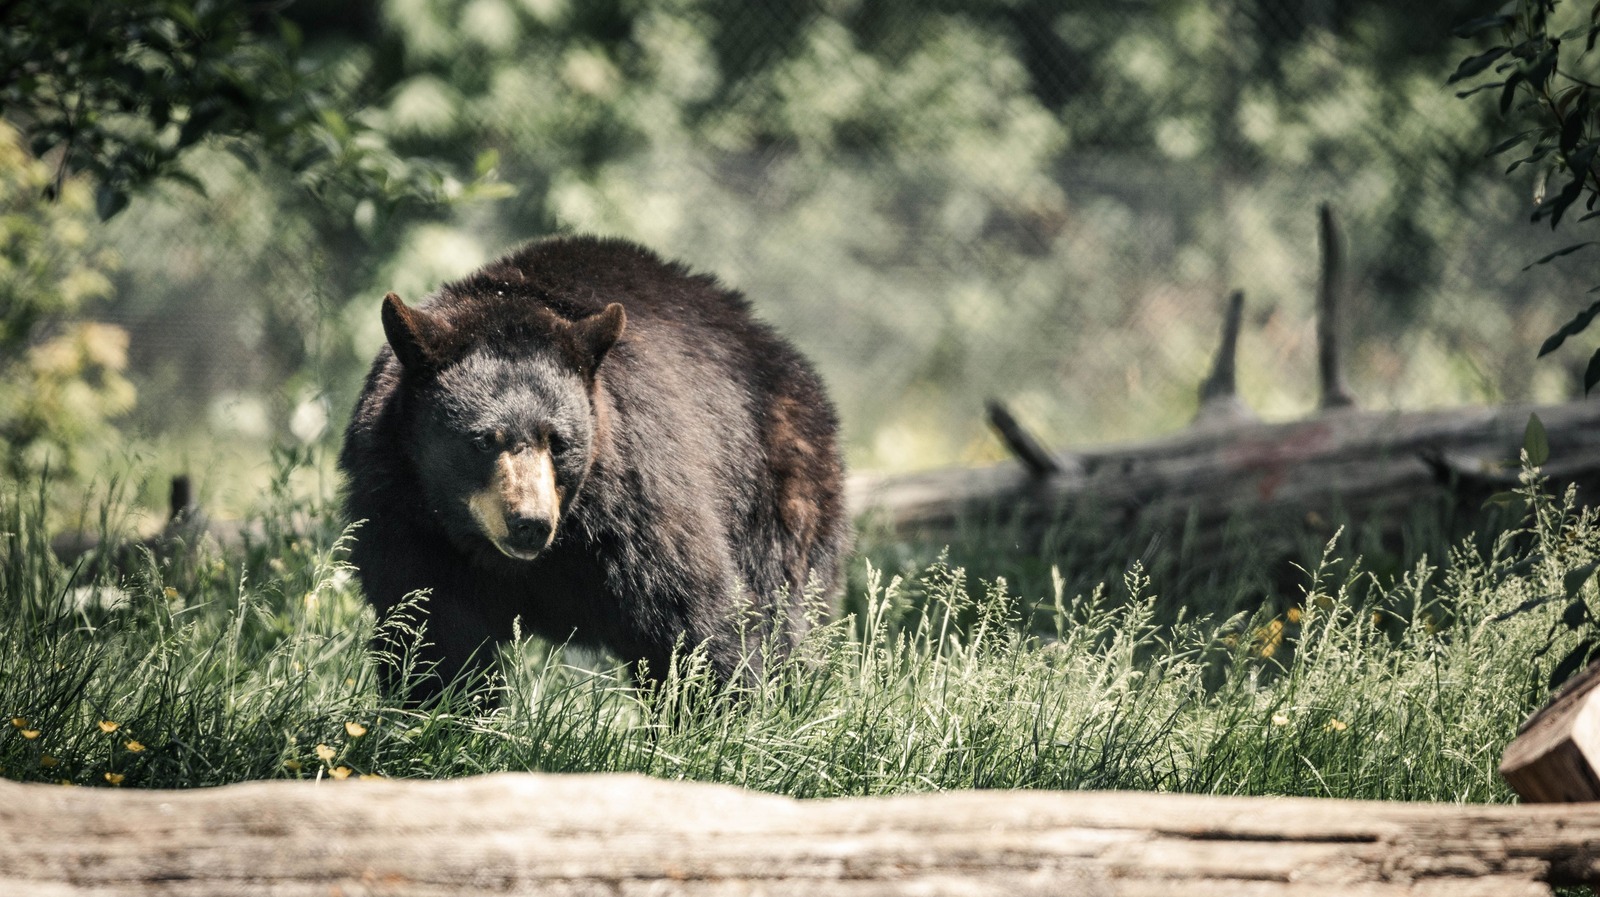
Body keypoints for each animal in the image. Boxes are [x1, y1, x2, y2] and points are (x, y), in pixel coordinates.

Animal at [338, 235, 850, 703]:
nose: (529, 524)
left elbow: (693, 617)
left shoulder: (632, 505)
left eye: (559, 441)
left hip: (778, 488)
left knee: (784, 608)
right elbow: (432, 631)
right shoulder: (406, 513)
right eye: (482, 440)